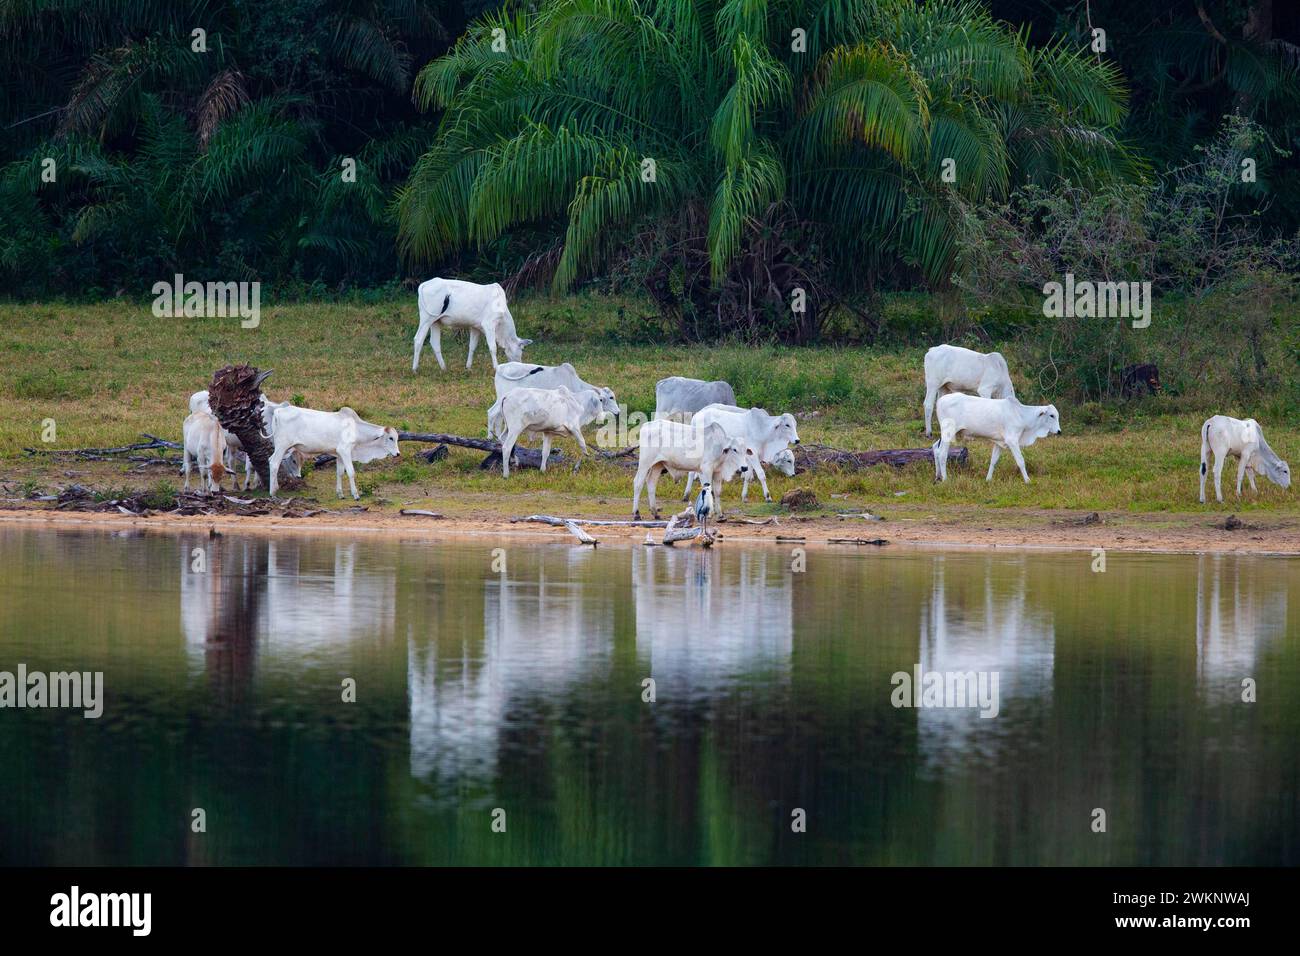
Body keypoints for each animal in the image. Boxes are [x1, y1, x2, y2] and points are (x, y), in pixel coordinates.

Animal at [264, 406, 400, 499]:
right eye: (391, 438)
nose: (398, 454)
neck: (355, 428)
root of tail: (278, 411)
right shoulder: (345, 450)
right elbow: (351, 472)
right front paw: (355, 495)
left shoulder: (338, 454)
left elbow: (339, 472)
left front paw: (340, 494)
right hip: (282, 446)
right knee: (274, 463)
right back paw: (273, 492)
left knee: (270, 460)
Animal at [487, 362, 618, 439]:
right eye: (611, 397)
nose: (618, 411)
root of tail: (500, 367)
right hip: (501, 397)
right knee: (491, 413)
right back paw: (490, 437)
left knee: (498, 417)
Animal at [932, 394, 1061, 483]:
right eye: (1051, 415)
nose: (1059, 431)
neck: (1020, 415)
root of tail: (940, 400)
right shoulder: (1012, 441)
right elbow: (1020, 461)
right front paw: (1027, 480)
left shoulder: (999, 443)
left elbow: (993, 461)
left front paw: (988, 479)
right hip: (948, 433)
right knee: (942, 454)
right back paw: (945, 479)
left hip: (945, 434)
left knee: (935, 449)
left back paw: (938, 477)